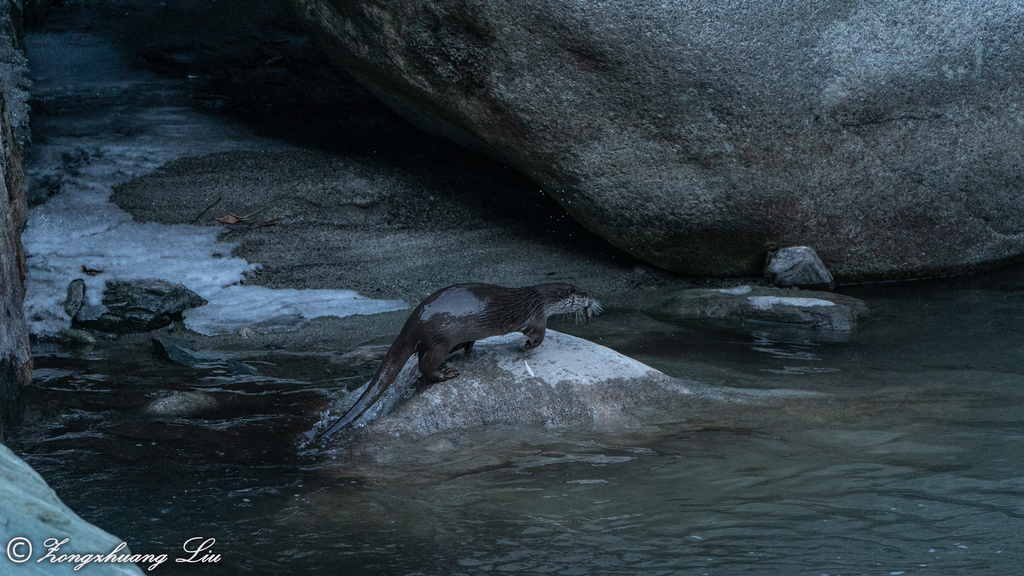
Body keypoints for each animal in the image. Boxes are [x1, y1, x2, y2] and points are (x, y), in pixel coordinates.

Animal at [307, 283, 601, 441]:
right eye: (583, 293)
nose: (592, 299)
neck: (539, 299)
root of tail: (411, 323)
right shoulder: (536, 317)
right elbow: (537, 335)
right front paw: (528, 346)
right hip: (439, 339)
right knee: (424, 366)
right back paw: (446, 373)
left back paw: (466, 349)